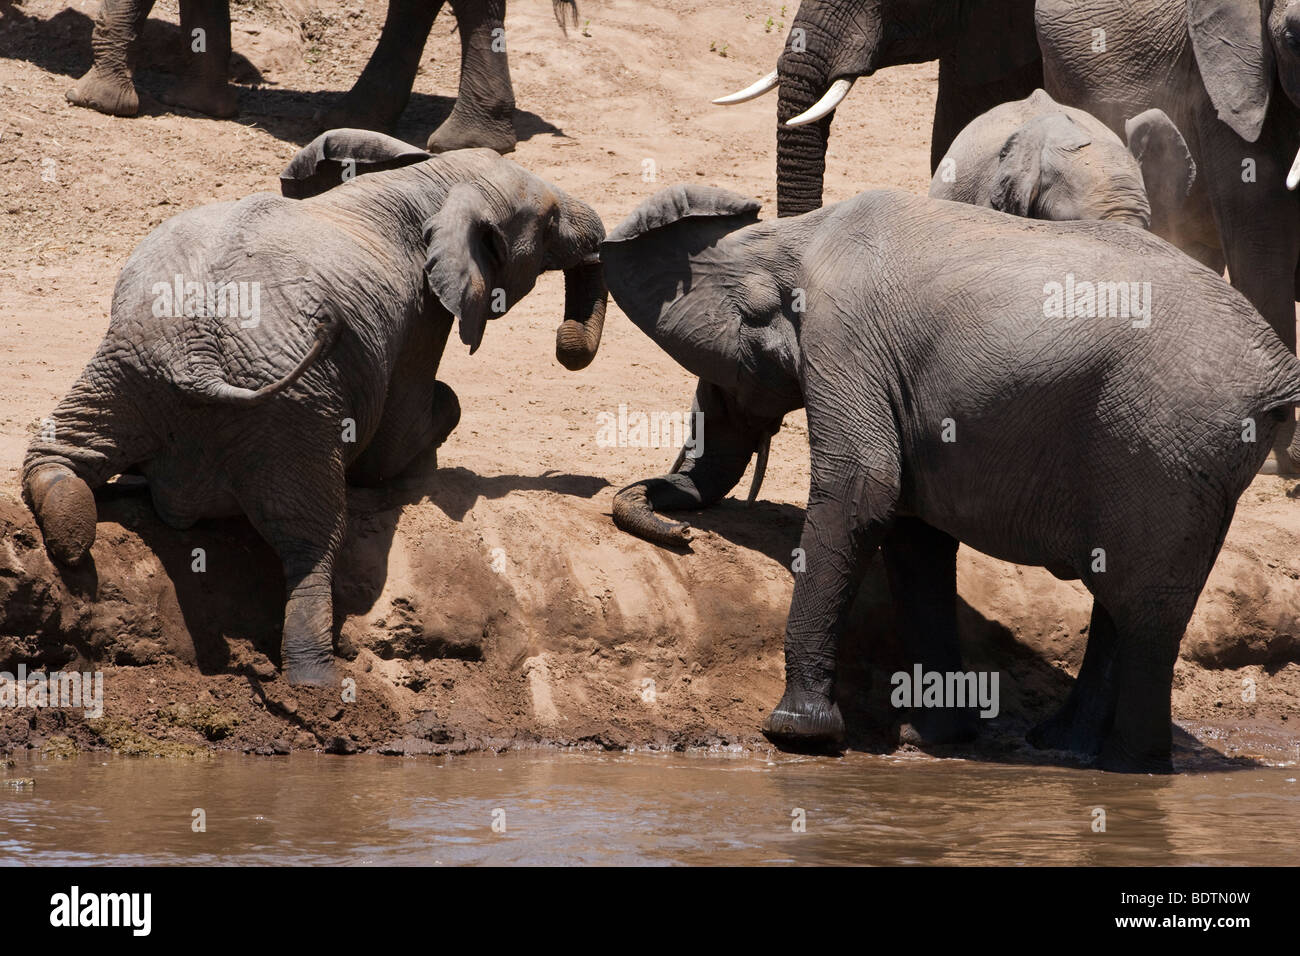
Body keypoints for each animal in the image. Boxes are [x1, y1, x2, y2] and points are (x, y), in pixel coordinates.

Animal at [22, 129, 607, 686]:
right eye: (549, 221)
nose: (567, 348)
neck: (430, 179)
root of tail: (198, 360)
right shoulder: (423, 313)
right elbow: (400, 436)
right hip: (289, 415)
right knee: (313, 545)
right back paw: (318, 683)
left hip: (128, 364)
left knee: (60, 452)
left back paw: (70, 535)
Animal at [602, 183, 1300, 772]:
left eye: (721, 386)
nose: (682, 535)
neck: (788, 237)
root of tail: (1277, 372)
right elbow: (914, 535)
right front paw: (936, 740)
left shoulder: (846, 340)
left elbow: (862, 493)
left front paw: (798, 736)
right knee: (1125, 597)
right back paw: (1064, 748)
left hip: (1170, 442)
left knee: (1147, 616)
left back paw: (1131, 770)